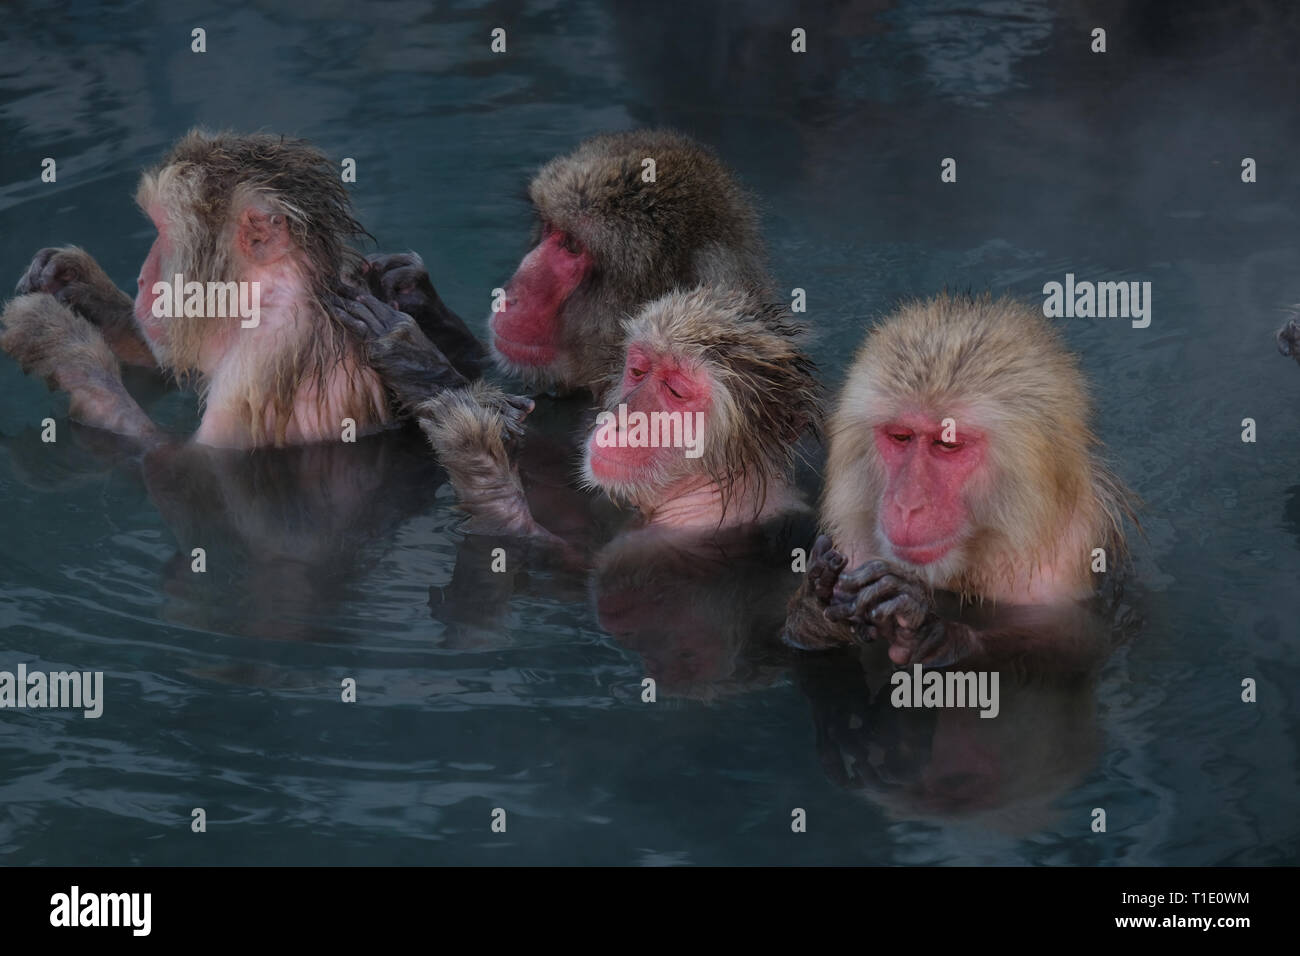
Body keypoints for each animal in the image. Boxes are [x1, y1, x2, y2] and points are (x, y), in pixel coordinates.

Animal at [1, 129, 500, 450]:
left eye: (163, 232)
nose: (142, 280)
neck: (277, 298)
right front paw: (75, 284)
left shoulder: (263, 357)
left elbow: (196, 461)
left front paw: (58, 342)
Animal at [783, 293, 1135, 669]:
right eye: (901, 436)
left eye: (948, 444)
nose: (907, 504)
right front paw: (817, 605)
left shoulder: (1058, 569)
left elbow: (1077, 639)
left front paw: (933, 632)